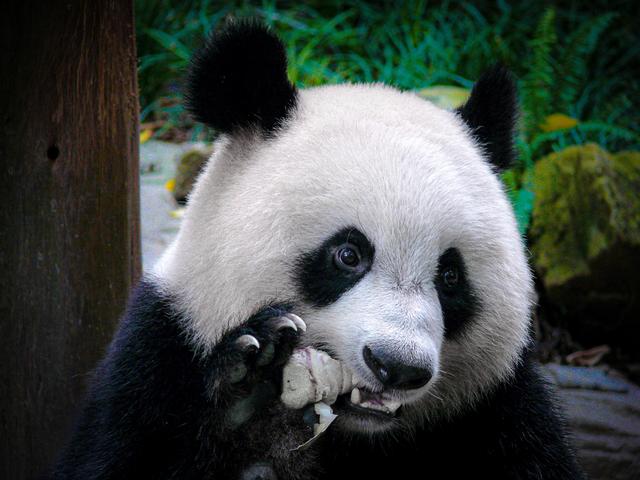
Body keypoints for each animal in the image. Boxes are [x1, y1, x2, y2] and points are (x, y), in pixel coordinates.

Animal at [52, 20, 585, 480]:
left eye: (451, 276)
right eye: (348, 255)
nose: (398, 366)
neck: (354, 431)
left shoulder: (496, 409)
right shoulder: (159, 357)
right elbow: (117, 456)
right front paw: (246, 389)